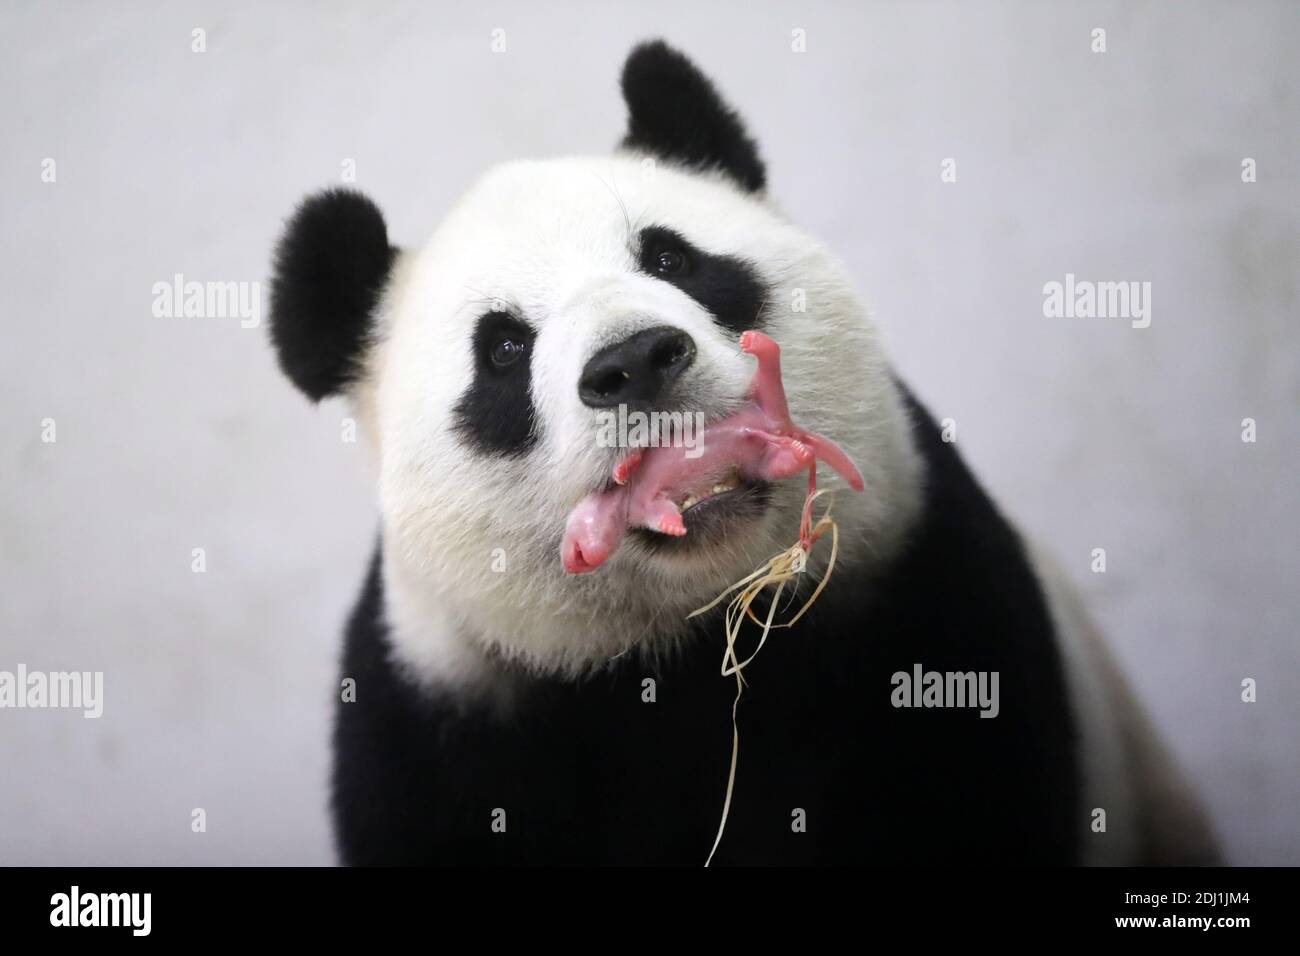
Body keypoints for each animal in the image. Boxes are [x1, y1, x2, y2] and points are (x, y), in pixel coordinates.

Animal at [268, 40, 1218, 866]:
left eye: (670, 257)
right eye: (502, 349)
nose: (635, 362)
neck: (688, 642)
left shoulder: (929, 599)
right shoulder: (442, 714)